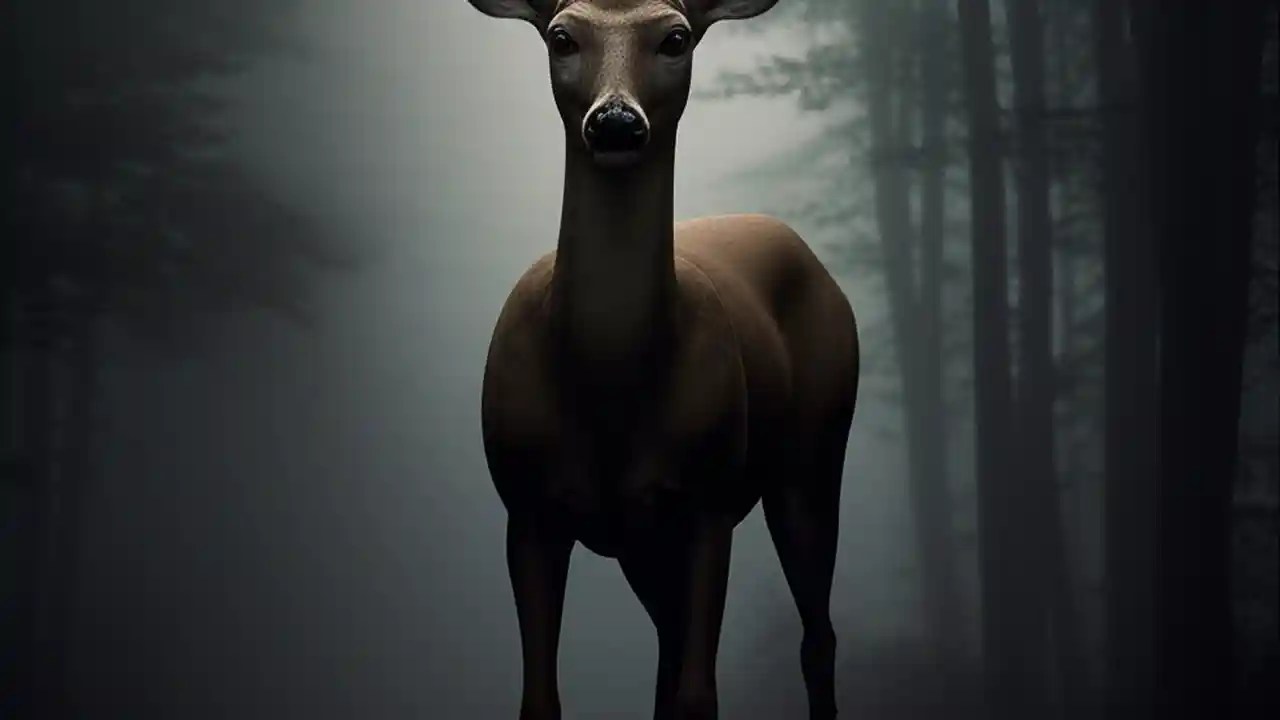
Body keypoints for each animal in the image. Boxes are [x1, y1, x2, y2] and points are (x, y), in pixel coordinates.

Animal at [470, 1, 858, 718]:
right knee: (669, 646)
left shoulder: (708, 500)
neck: (610, 395)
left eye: (676, 37)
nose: (616, 122)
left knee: (815, 635)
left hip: (812, 454)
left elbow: (697, 695)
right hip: (643, 543)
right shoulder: (527, 508)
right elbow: (540, 700)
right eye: (561, 36)